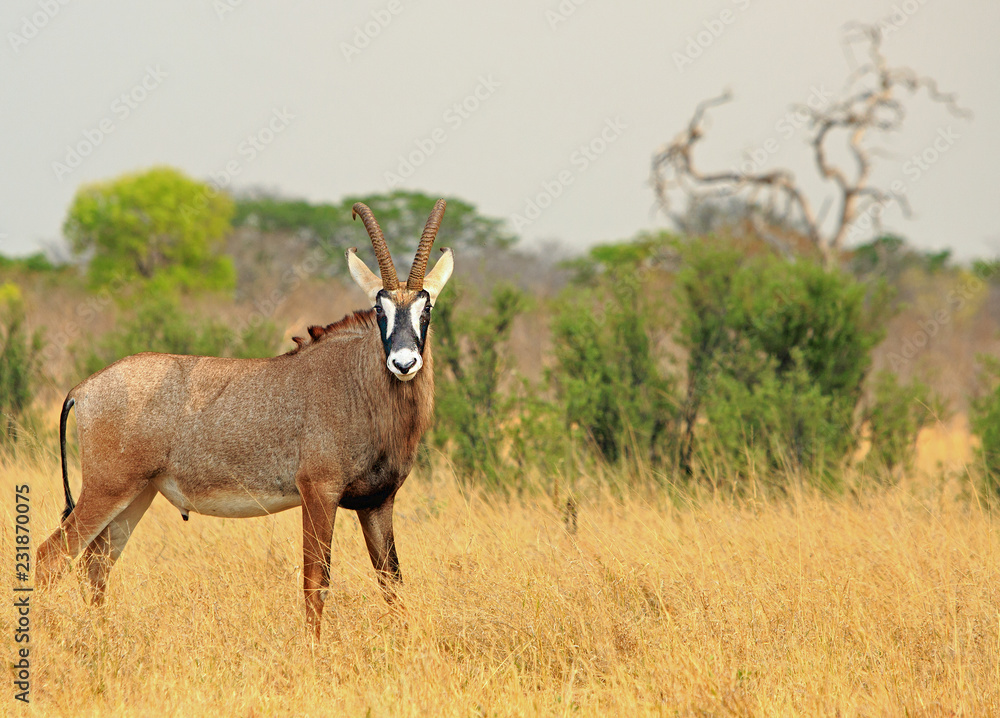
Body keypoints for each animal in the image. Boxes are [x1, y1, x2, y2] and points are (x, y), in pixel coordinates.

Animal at [36, 199, 454, 638]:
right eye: (378, 308)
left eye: (427, 307)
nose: (403, 363)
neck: (356, 382)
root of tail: (83, 388)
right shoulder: (318, 492)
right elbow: (316, 581)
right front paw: (314, 650)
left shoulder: (377, 502)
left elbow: (392, 583)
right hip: (107, 489)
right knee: (51, 557)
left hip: (136, 496)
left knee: (95, 565)